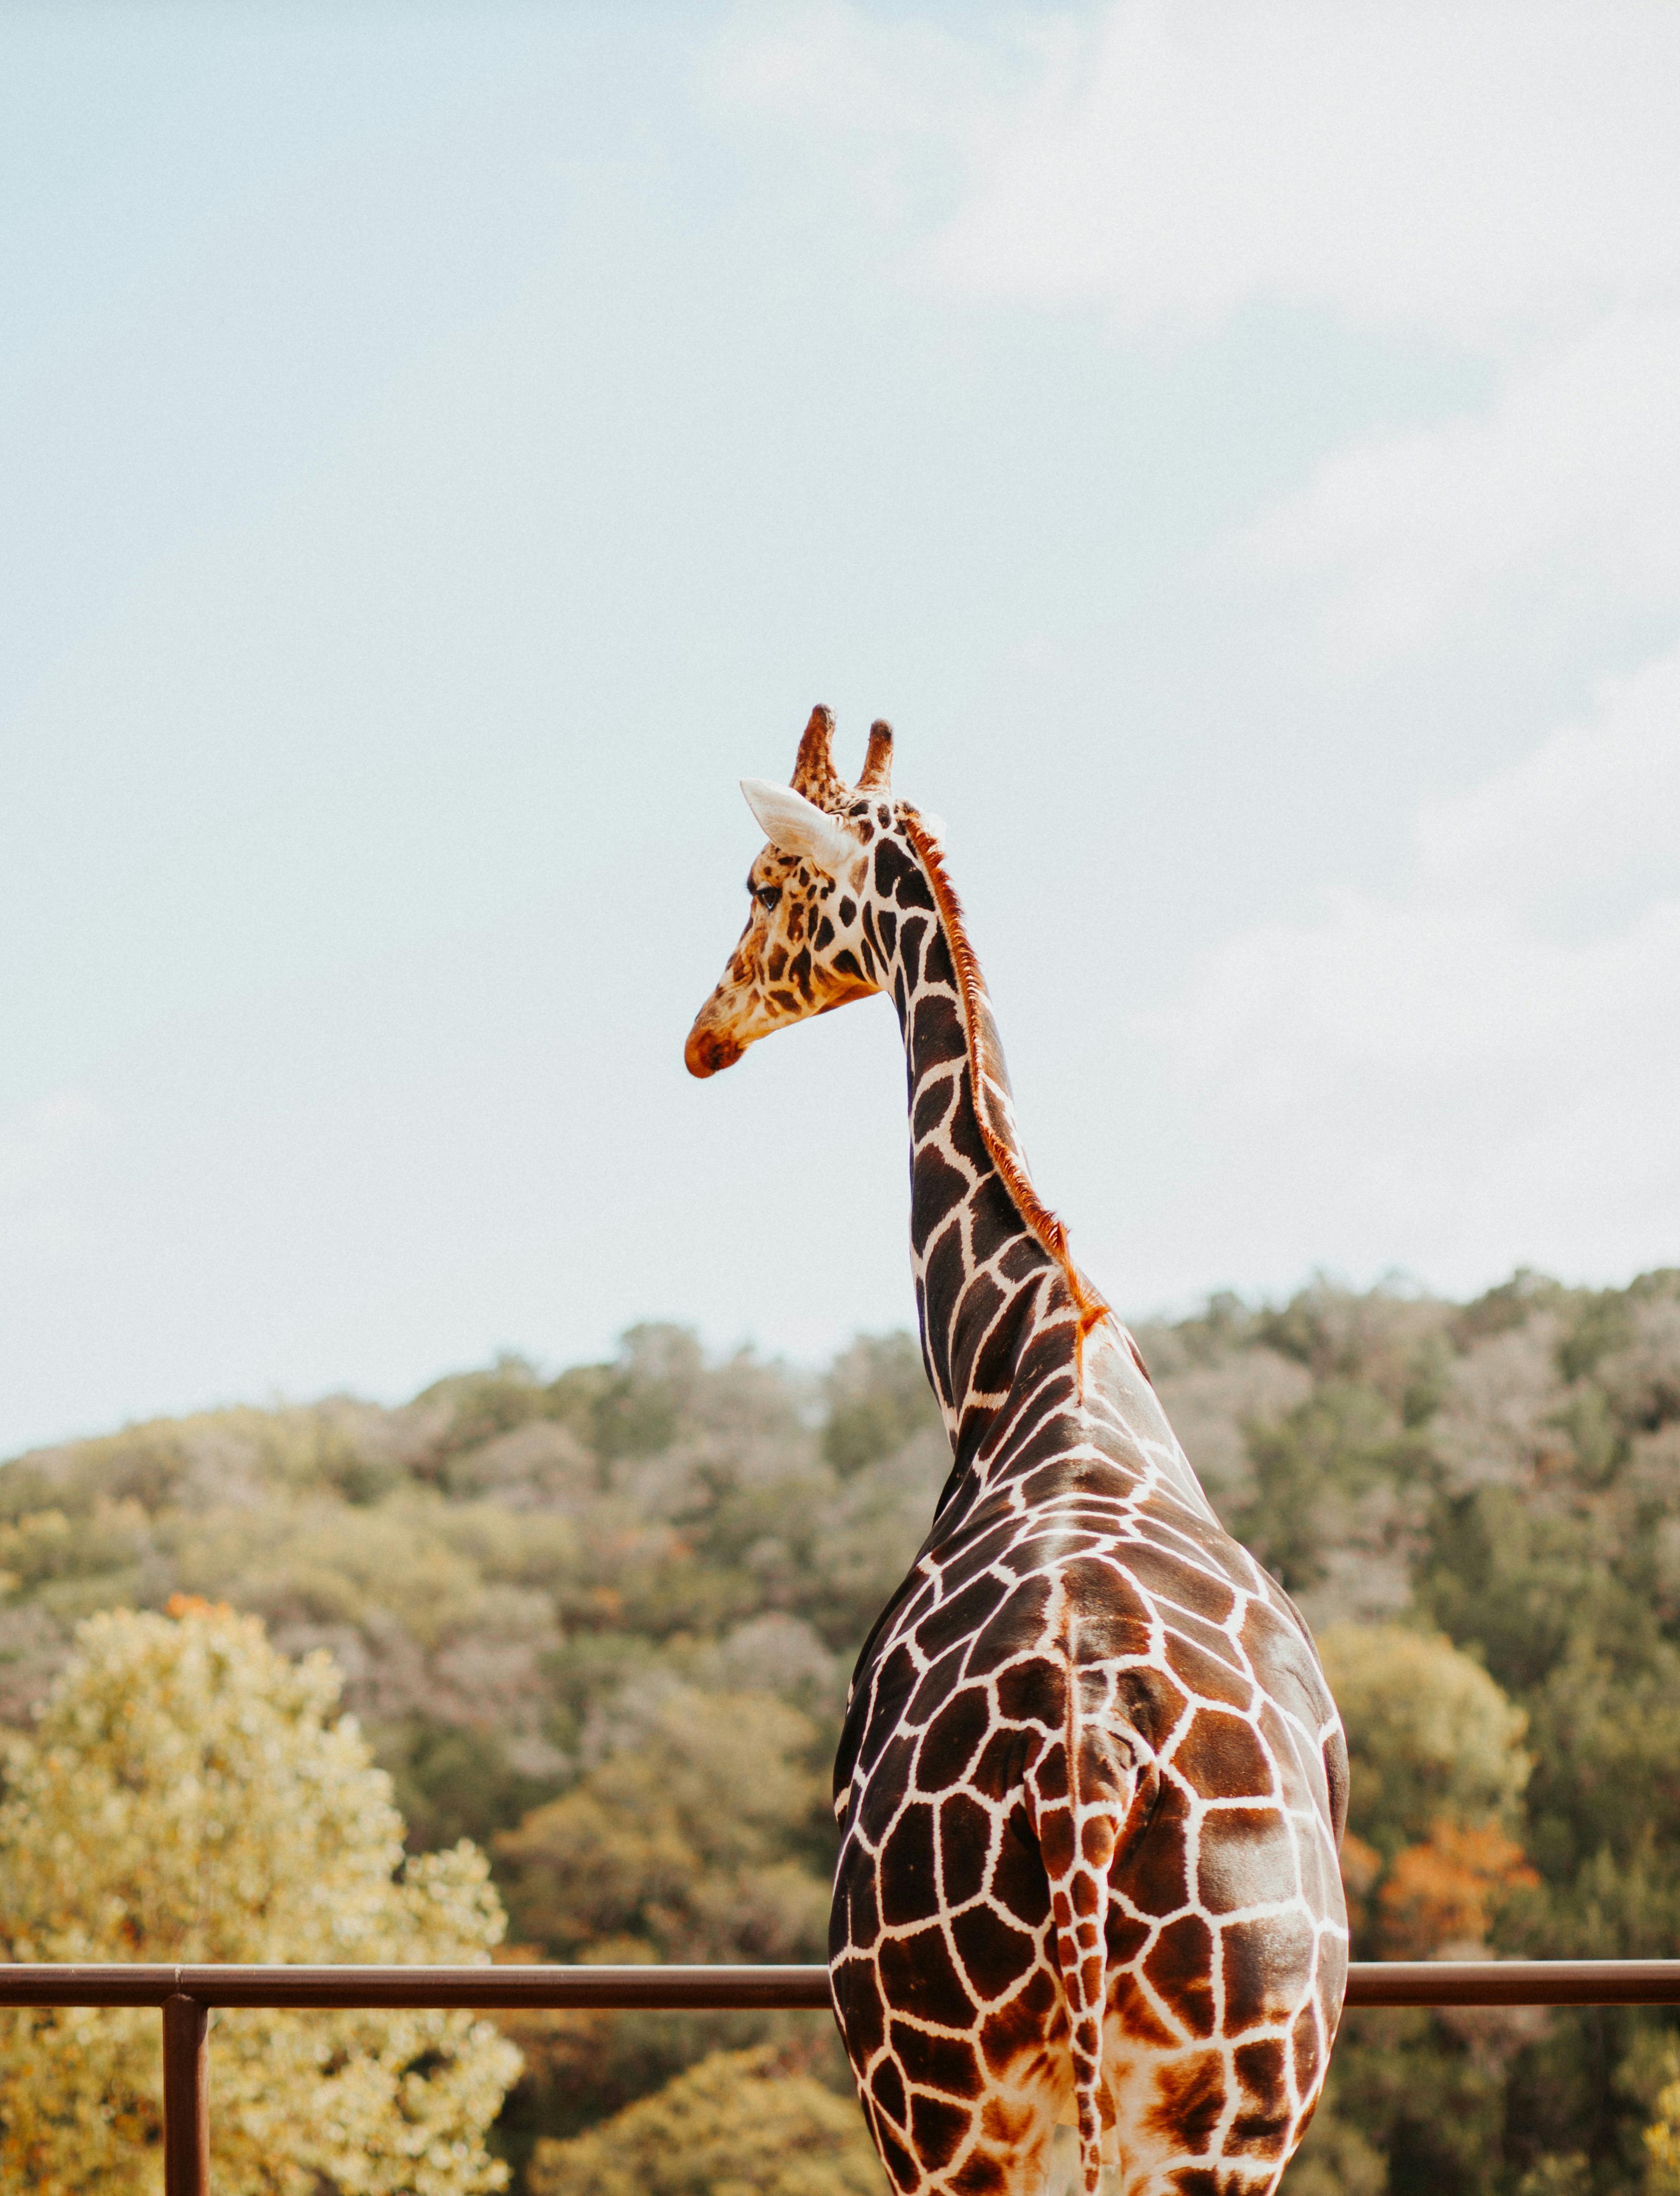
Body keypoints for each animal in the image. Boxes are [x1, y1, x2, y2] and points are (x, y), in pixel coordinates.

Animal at [685, 708, 1349, 2196]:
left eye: (758, 885)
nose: (704, 1035)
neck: (1035, 1359)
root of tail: (1083, 1776)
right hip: (1205, 2113)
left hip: (952, 2106)